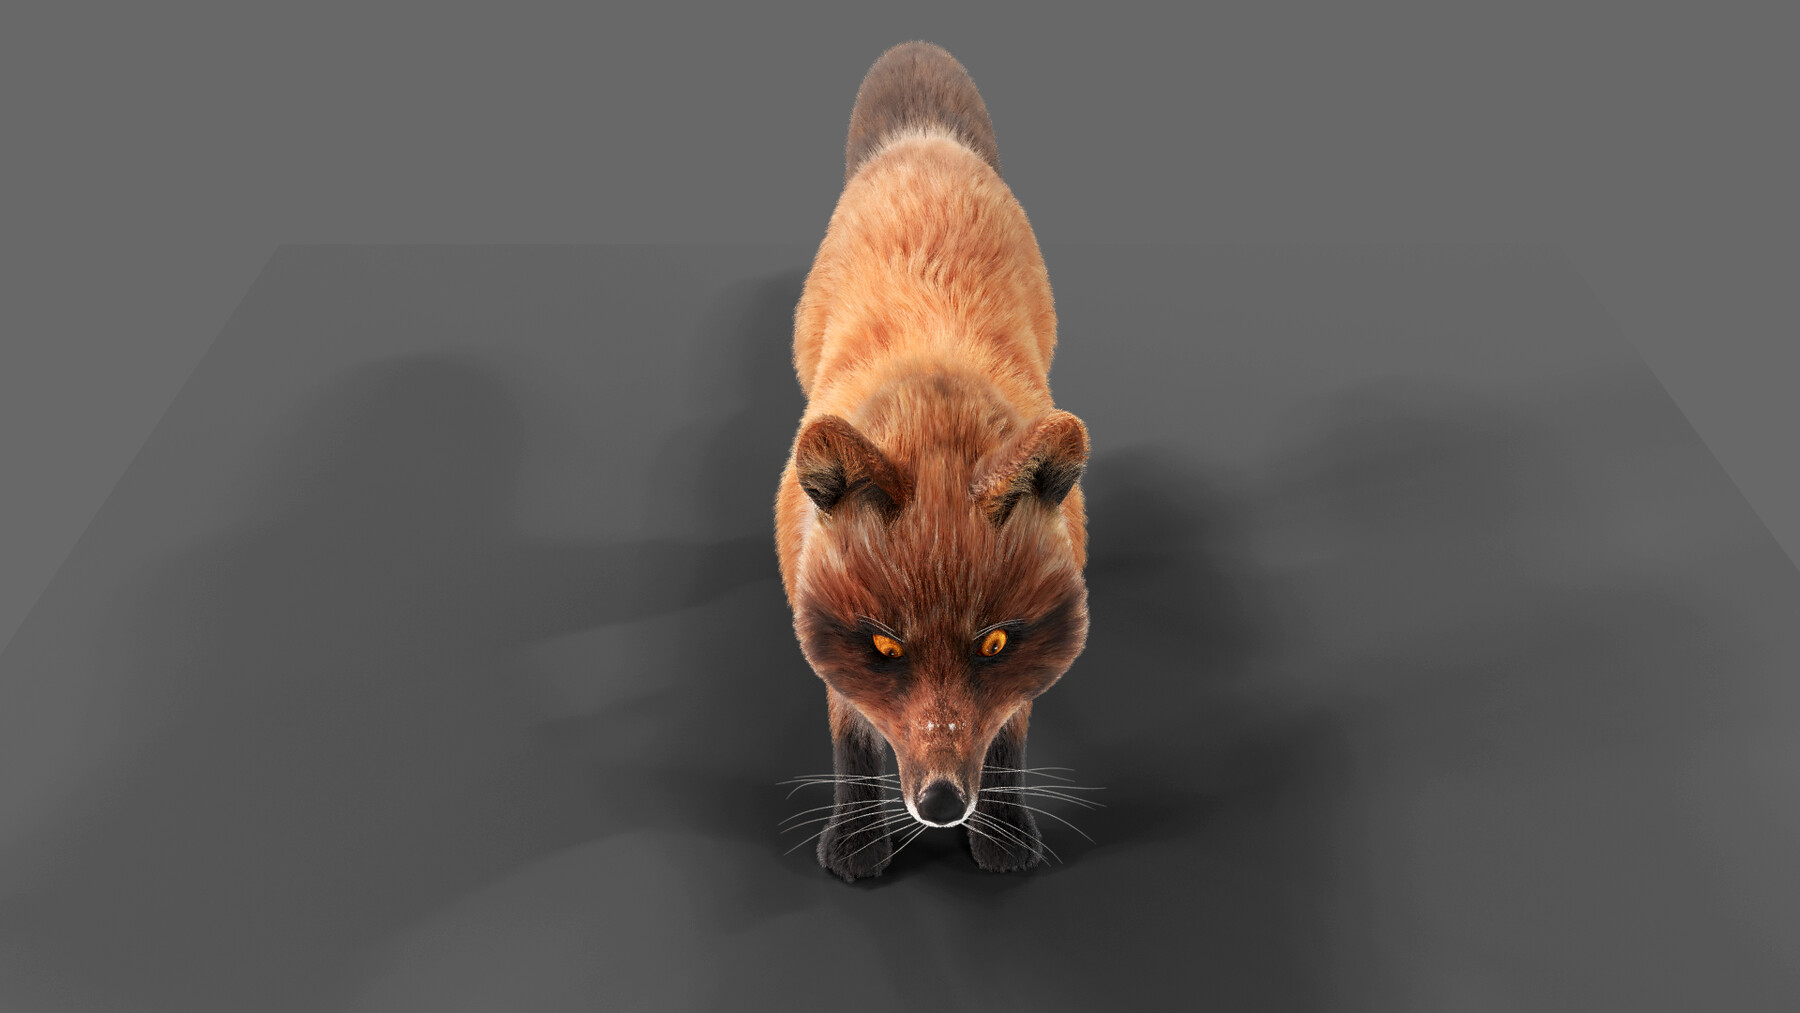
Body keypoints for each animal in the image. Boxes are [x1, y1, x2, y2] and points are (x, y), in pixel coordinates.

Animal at [775, 41, 1091, 881]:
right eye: (885, 645)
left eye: (995, 643)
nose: (944, 805)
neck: (933, 406)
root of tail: (924, 142)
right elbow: (852, 730)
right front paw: (858, 839)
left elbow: (1009, 729)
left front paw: (1004, 832)